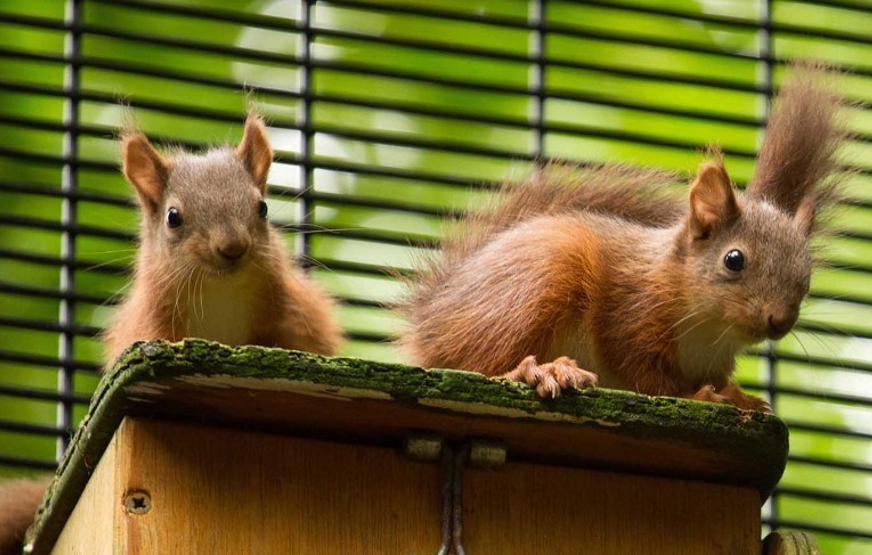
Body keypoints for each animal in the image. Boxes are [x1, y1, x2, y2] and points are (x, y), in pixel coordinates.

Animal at [0, 114, 343, 555]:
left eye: (262, 206)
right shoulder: (153, 324)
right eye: (173, 217)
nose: (233, 247)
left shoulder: (293, 320)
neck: (218, 292)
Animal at [401, 64, 848, 410]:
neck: (710, 328)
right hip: (534, 286)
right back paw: (541, 370)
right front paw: (697, 396)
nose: (779, 321)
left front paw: (741, 398)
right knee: (480, 364)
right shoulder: (632, 314)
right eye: (733, 259)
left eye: (806, 277)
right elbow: (647, 377)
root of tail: (429, 320)